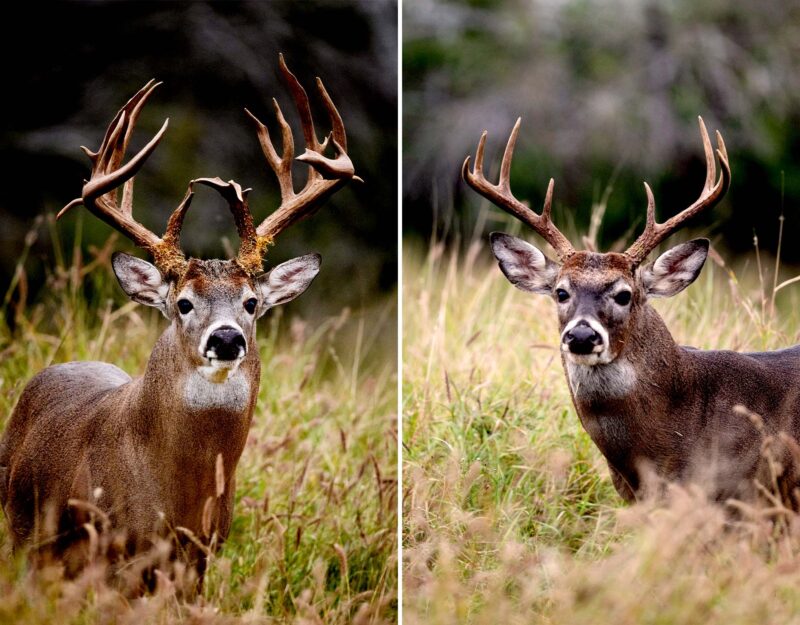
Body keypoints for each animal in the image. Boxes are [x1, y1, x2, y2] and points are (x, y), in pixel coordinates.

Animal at [0, 56, 359, 590]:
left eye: (251, 302)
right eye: (184, 304)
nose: (227, 338)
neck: (177, 499)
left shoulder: (199, 558)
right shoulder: (107, 555)